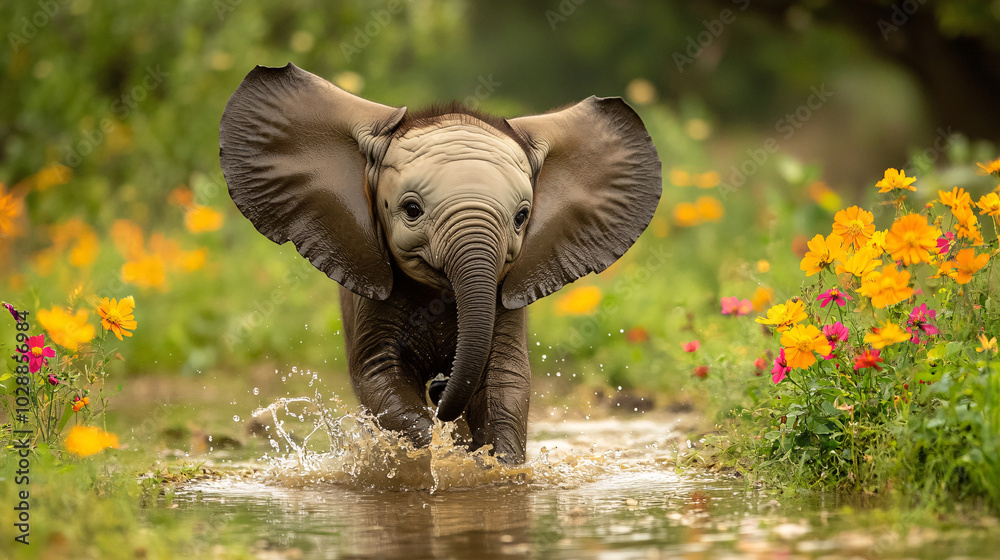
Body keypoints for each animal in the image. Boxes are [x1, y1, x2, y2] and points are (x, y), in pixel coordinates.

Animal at [220, 63, 661, 464]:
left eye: (522, 217)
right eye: (412, 210)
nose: (440, 387)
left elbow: (507, 381)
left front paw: (490, 466)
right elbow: (379, 379)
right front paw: (443, 457)